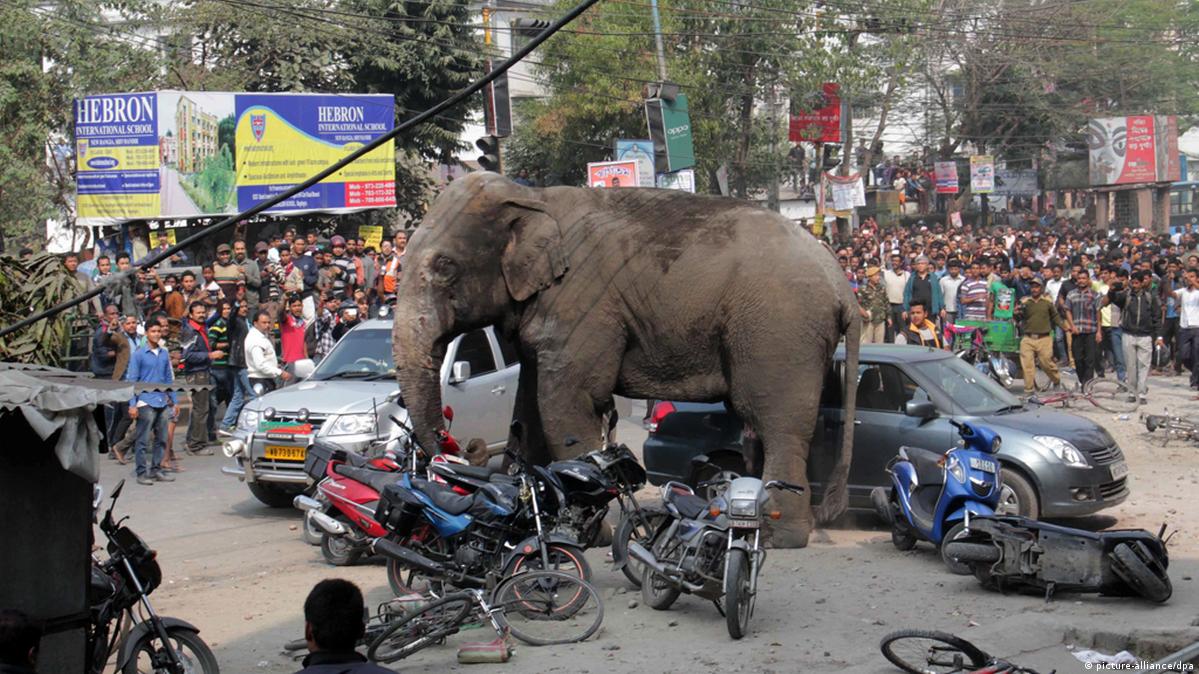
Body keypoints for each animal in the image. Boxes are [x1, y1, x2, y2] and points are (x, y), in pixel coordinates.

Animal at [391, 172, 860, 547]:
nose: (461, 447)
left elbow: (568, 401)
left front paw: (584, 533)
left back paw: (780, 535)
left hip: (780, 331)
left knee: (777, 422)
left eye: (445, 266)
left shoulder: (581, 305)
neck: (531, 198)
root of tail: (842, 285)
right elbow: (529, 404)